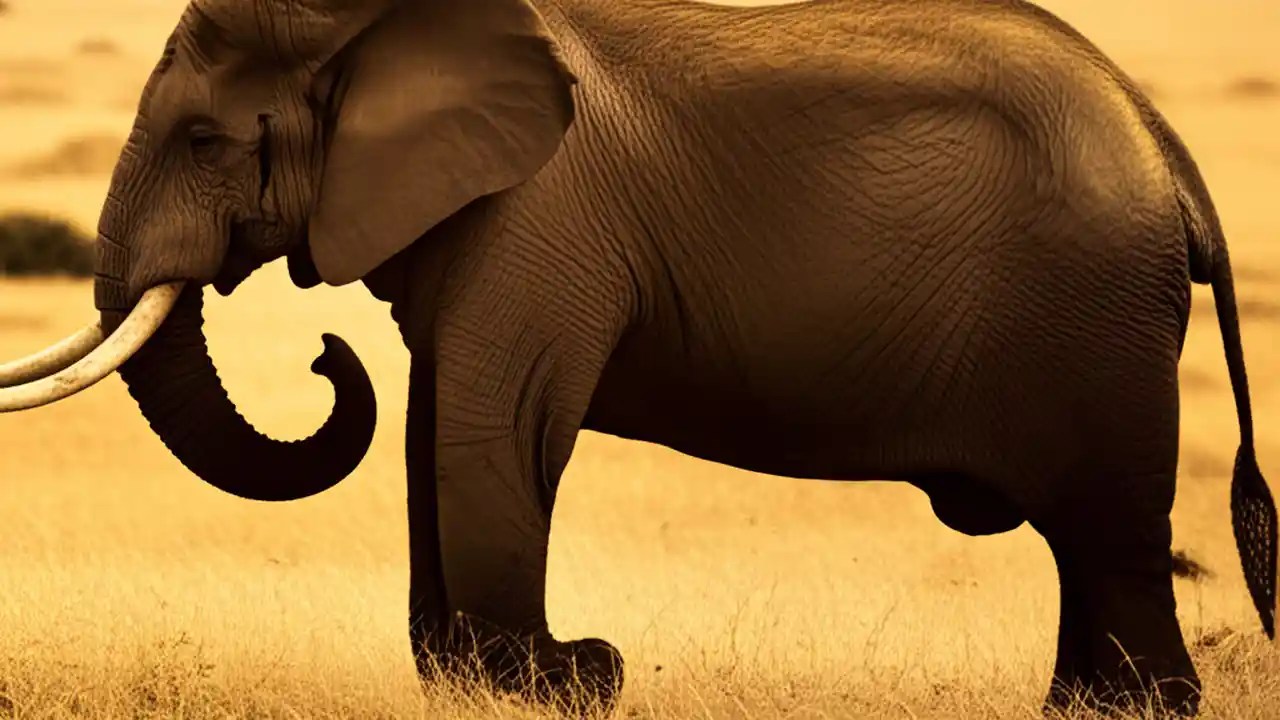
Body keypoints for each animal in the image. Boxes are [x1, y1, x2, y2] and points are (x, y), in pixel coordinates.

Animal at [1, 0, 1275, 715]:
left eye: (205, 139)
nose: (323, 357)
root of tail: (1163, 144)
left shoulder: (541, 213)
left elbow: (489, 424)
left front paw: (566, 683)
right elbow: (428, 428)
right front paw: (482, 684)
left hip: (1095, 317)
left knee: (1106, 531)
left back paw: (1133, 710)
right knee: (1088, 544)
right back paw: (1080, 710)